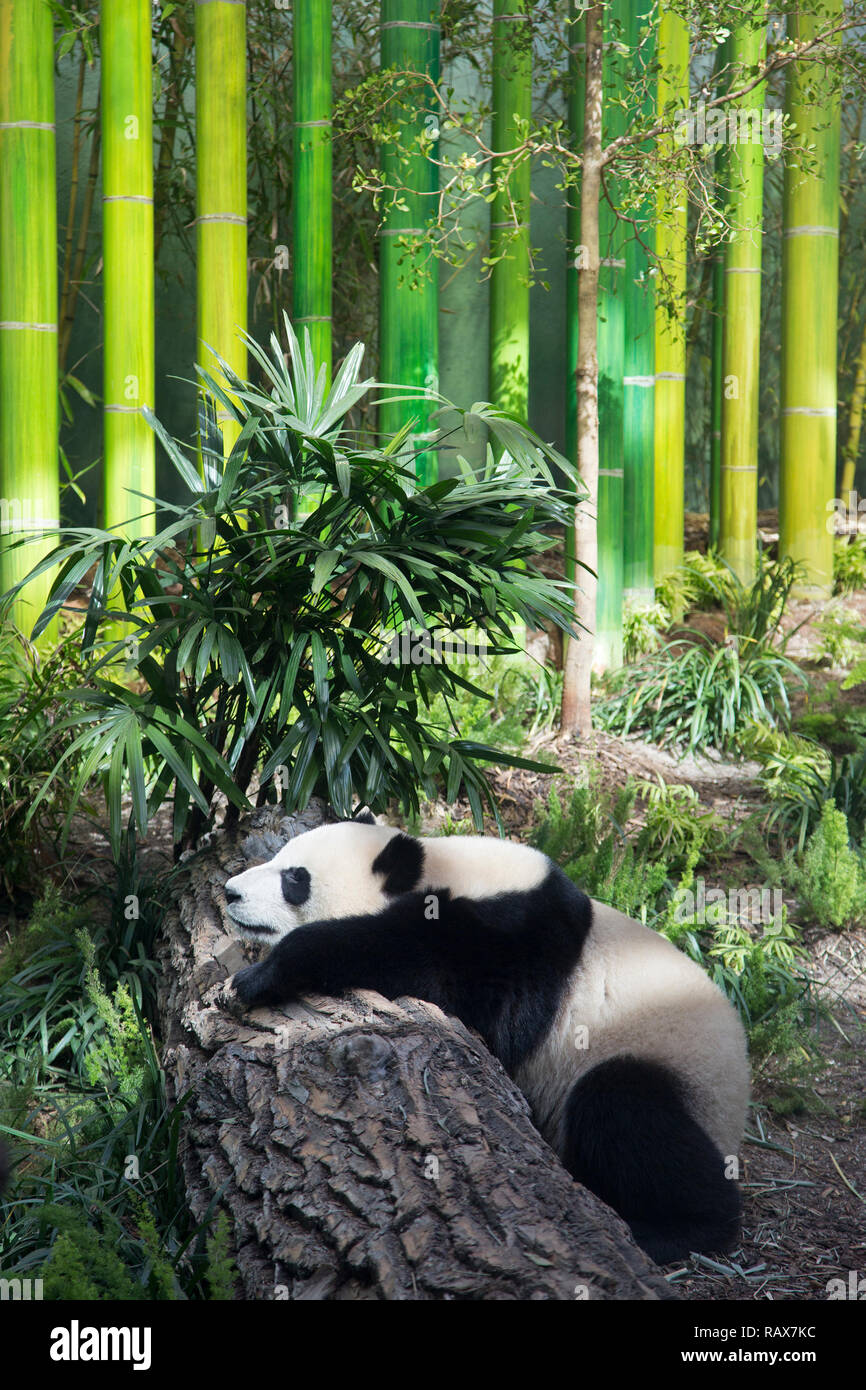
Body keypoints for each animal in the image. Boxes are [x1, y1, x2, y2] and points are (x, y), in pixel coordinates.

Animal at [223, 819, 750, 1265]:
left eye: (295, 878)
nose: (230, 892)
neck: (442, 868)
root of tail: (735, 1114)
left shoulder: (512, 937)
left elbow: (434, 973)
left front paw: (264, 974)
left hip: (672, 1066)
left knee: (628, 1111)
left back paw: (675, 1229)